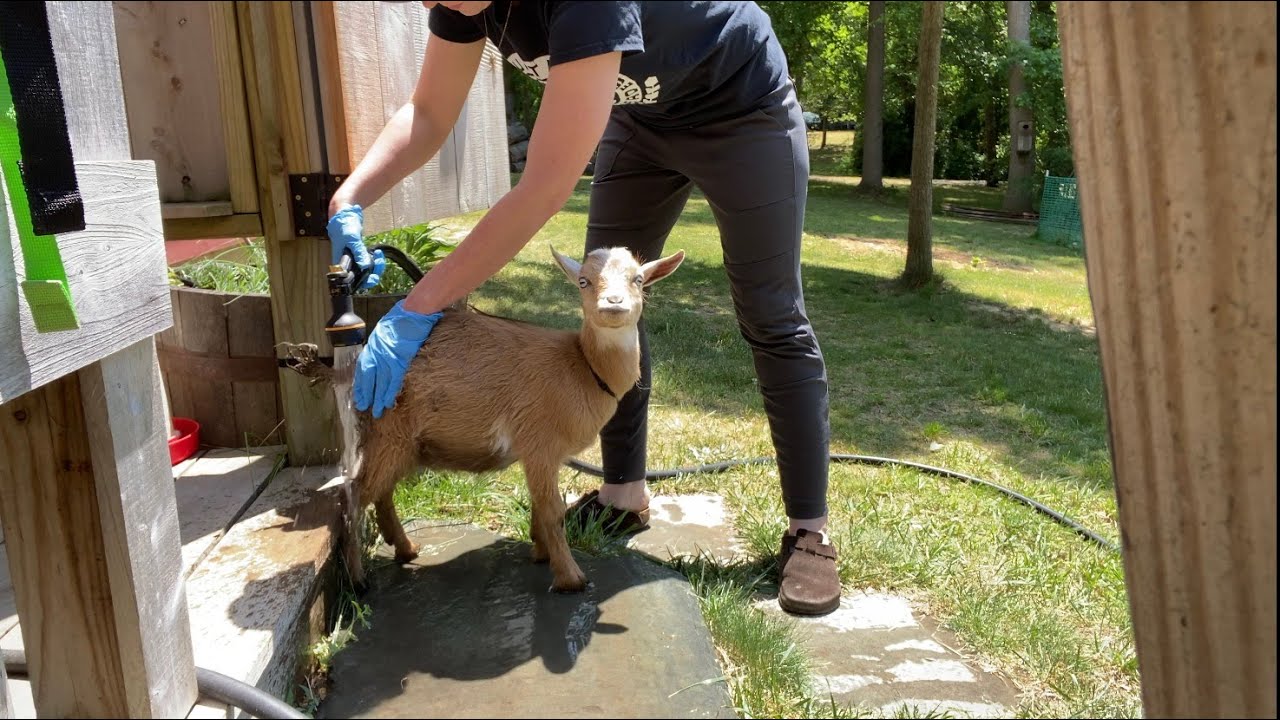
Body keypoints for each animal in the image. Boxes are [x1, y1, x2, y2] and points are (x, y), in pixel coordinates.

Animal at [285, 245, 685, 592]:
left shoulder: (541, 454)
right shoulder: (540, 444)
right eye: (584, 281)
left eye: (638, 279)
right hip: (387, 436)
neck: (582, 367)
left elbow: (540, 506)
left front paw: (541, 553)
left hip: (398, 443)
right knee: (352, 497)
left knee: (380, 492)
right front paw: (571, 579)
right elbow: (552, 510)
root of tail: (350, 369)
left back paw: (406, 550)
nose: (612, 304)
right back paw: (358, 580)